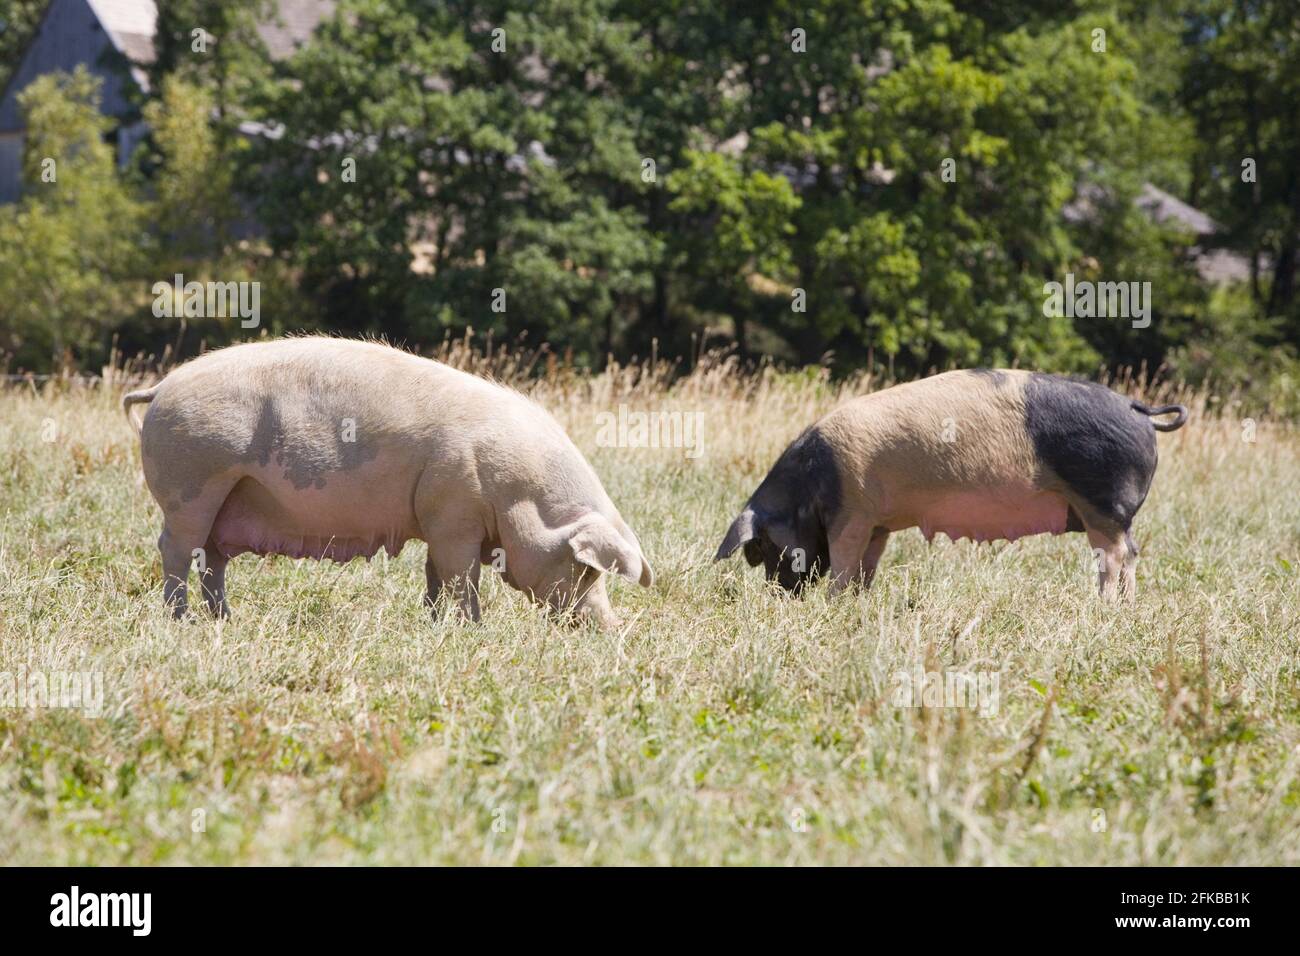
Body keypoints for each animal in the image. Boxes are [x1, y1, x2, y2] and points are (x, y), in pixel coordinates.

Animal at [122, 337, 653, 628]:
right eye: (586, 570)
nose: (610, 626)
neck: (517, 492)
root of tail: (162, 387)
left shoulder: (438, 523)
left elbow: (435, 576)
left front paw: (435, 624)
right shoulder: (454, 513)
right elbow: (462, 577)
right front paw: (474, 629)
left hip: (225, 499)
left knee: (211, 557)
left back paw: (225, 620)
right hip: (191, 483)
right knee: (176, 547)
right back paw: (181, 620)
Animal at [714, 369, 1188, 601]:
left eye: (763, 545)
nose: (781, 596)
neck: (809, 488)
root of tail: (1139, 410)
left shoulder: (852, 513)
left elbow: (846, 561)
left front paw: (832, 602)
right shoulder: (877, 522)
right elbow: (867, 565)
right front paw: (857, 601)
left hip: (1104, 503)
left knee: (1115, 556)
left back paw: (1102, 606)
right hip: (1113, 513)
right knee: (1133, 552)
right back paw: (1124, 608)